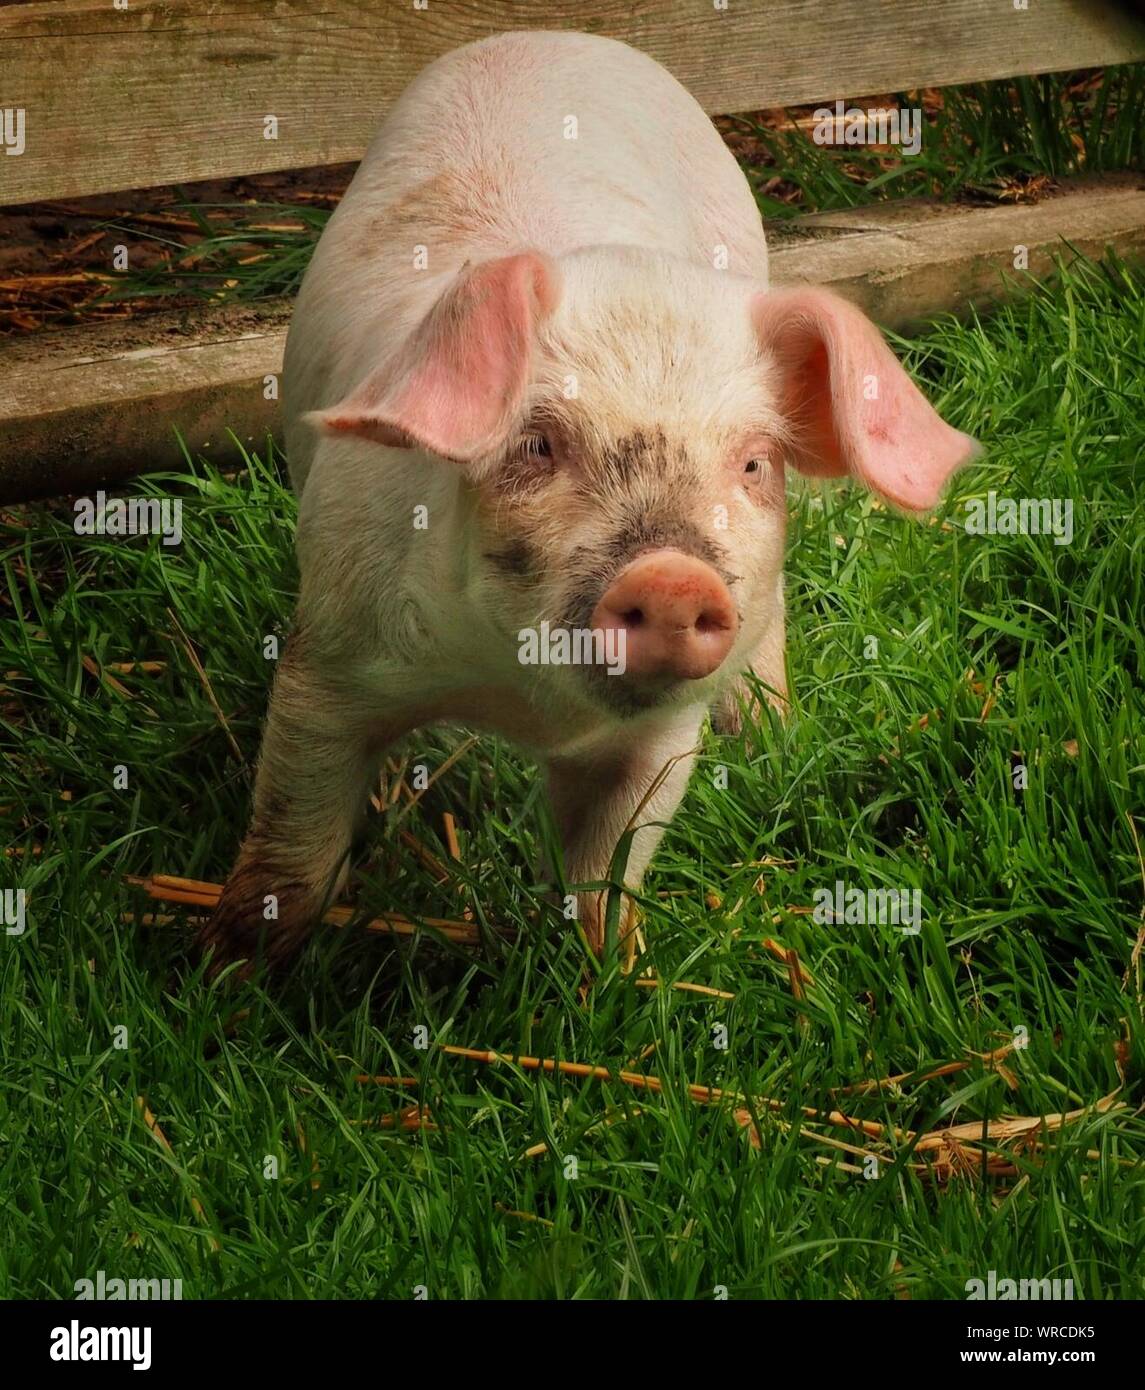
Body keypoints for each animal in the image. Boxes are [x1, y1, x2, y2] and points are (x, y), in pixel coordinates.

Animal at [198, 30, 977, 972]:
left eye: (754, 462)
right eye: (536, 444)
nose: (674, 578)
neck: (524, 704)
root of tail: (551, 36)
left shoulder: (660, 738)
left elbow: (610, 871)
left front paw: (617, 977)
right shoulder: (328, 659)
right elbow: (292, 845)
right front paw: (230, 973)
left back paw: (769, 737)